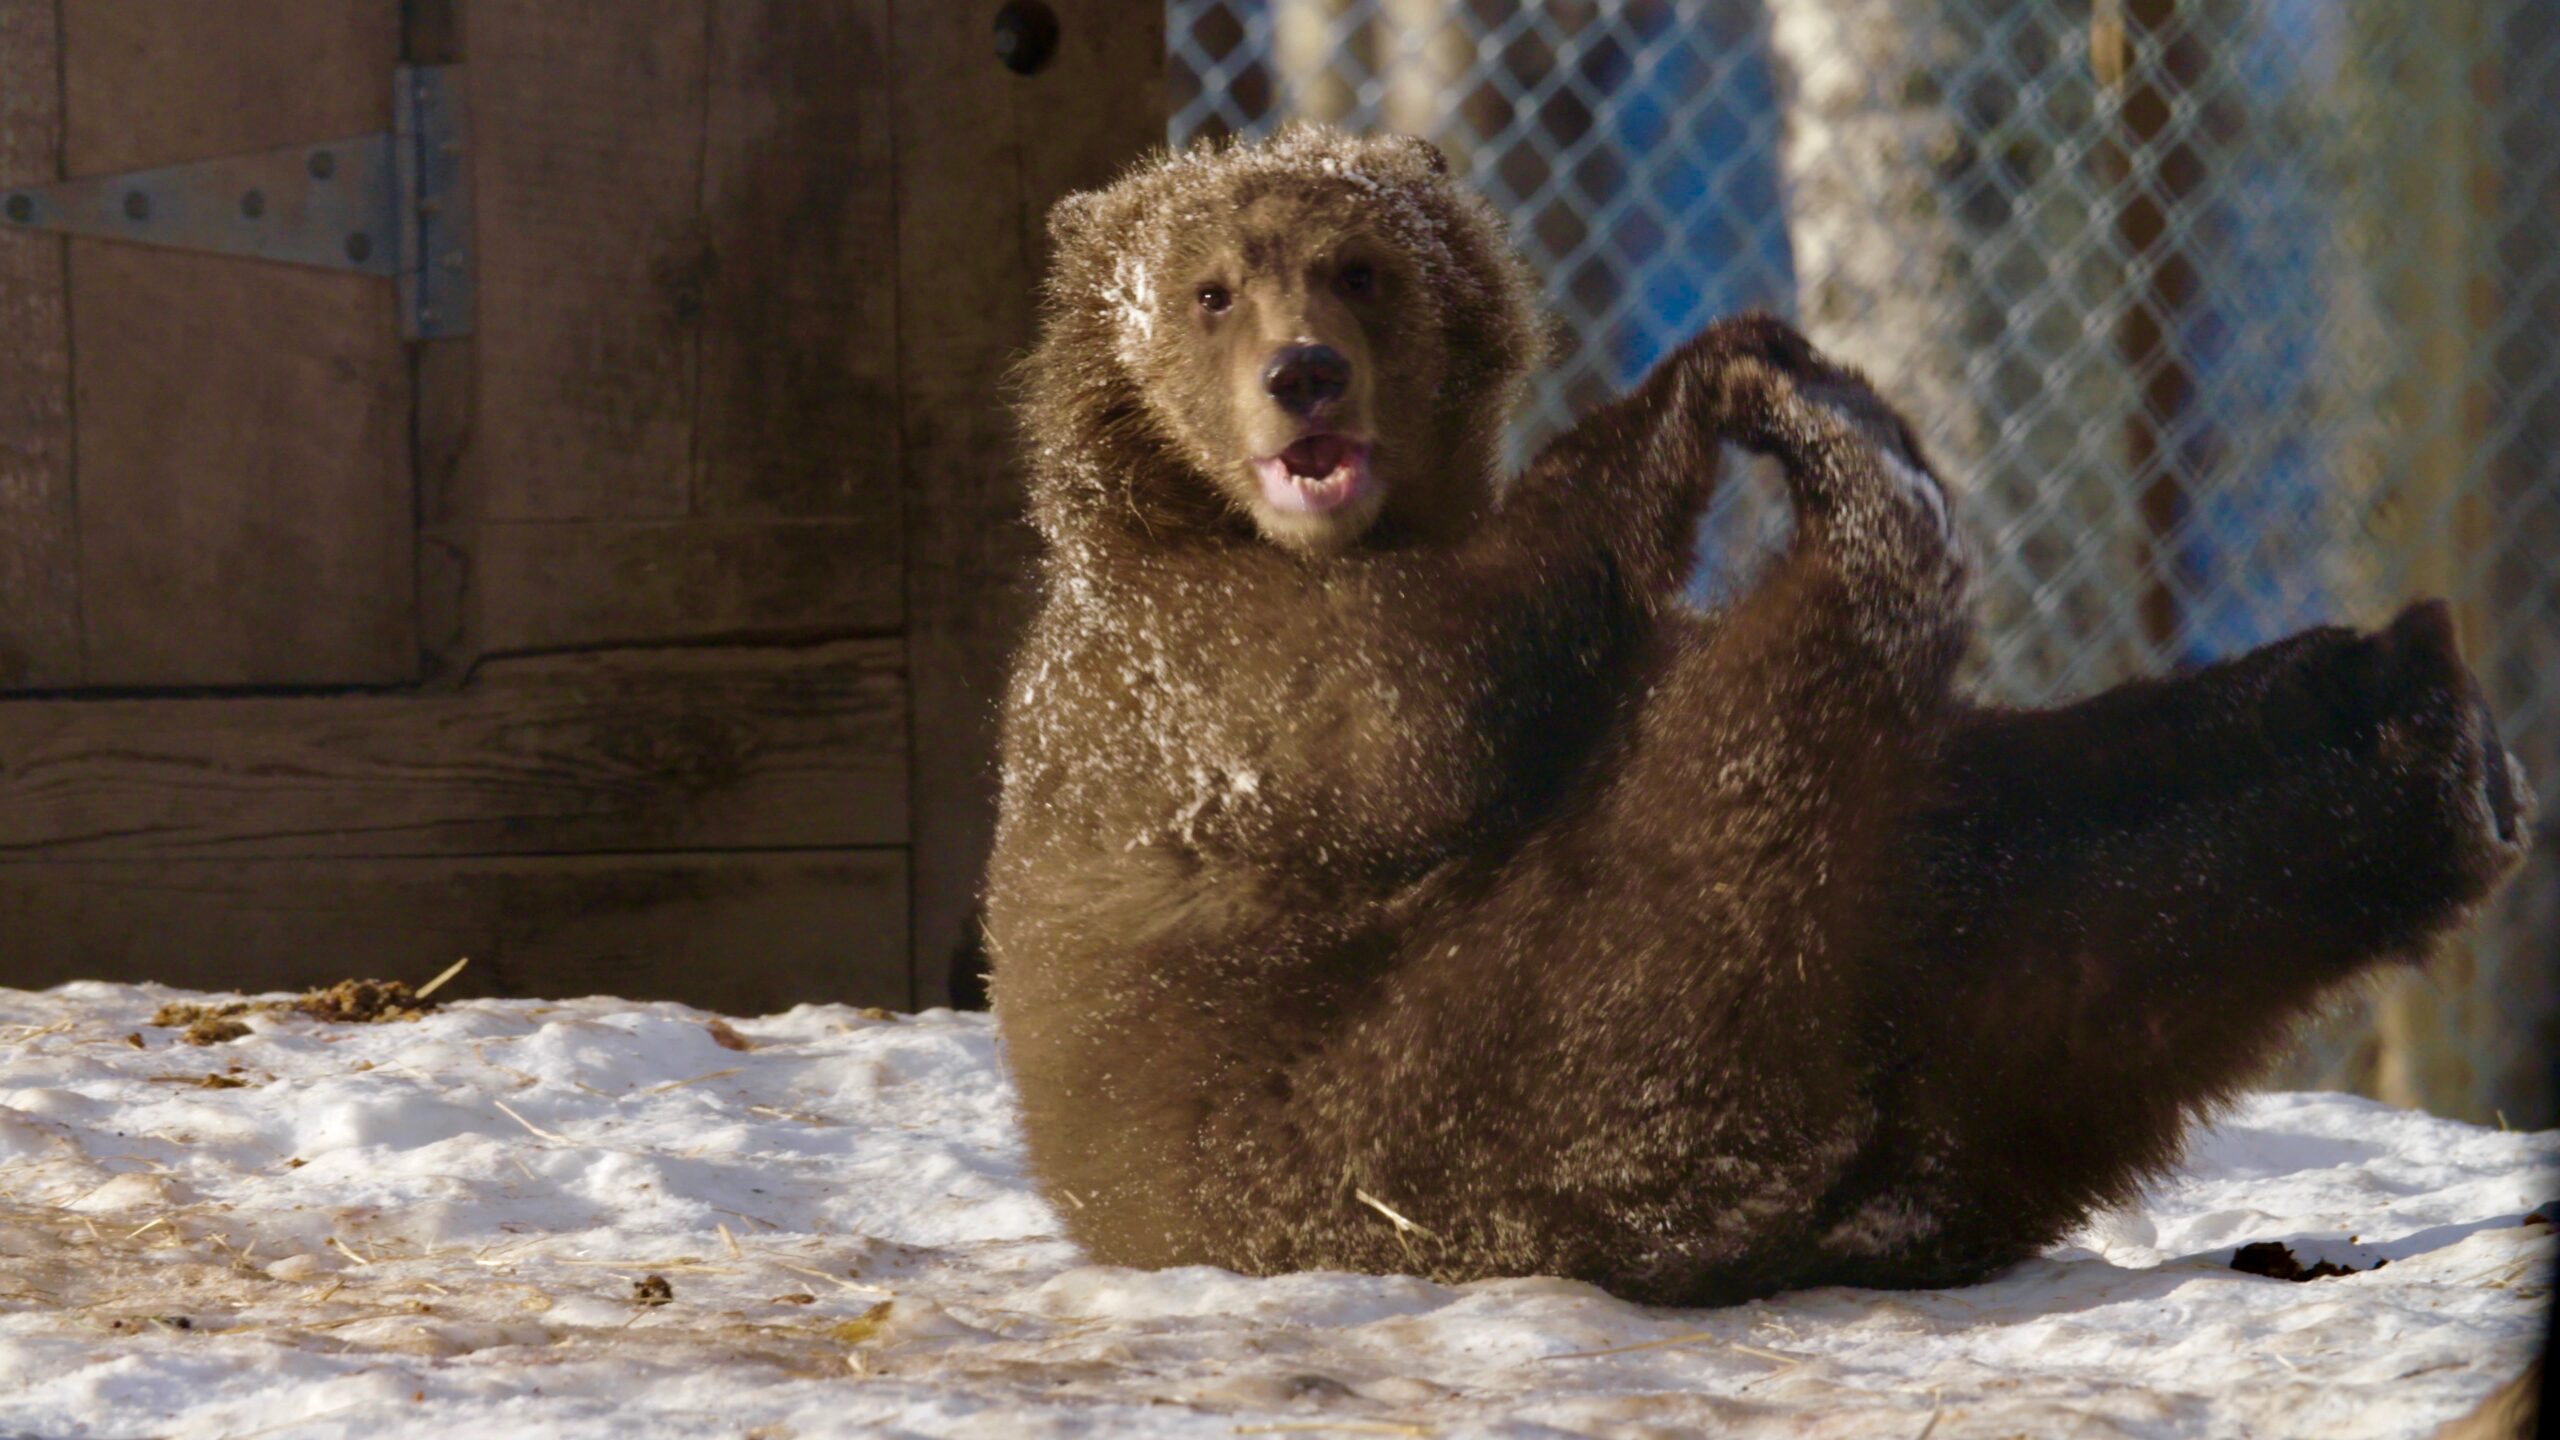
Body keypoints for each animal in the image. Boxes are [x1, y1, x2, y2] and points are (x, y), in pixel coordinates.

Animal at [983, 126, 2536, 1306]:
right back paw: (1866, 478)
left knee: (2050, 871)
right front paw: (1727, 371)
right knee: (1724, 842)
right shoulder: (1185, 678)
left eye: (1359, 268)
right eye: (1210, 290)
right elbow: (1419, 703)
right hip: (1416, 1108)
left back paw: (2417, 725)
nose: (1305, 370)